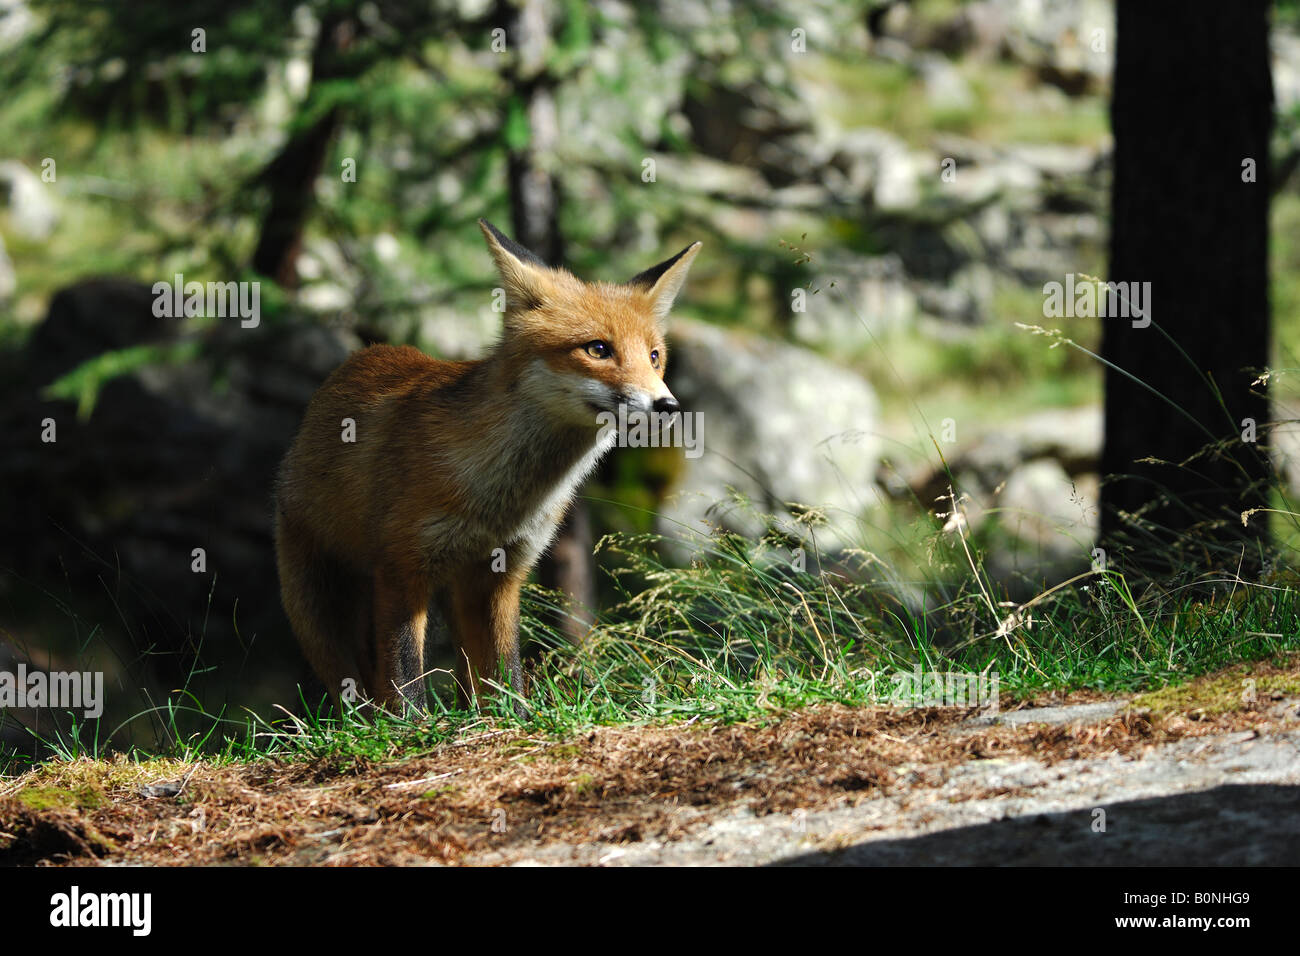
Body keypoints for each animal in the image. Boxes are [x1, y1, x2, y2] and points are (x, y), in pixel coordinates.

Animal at [273, 219, 700, 713]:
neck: (500, 501)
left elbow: (504, 668)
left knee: (463, 676)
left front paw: (515, 718)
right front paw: (413, 725)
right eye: (597, 349)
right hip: (317, 606)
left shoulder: (502, 572)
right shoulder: (401, 567)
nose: (667, 405)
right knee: (350, 685)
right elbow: (405, 671)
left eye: (654, 356)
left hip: (455, 596)